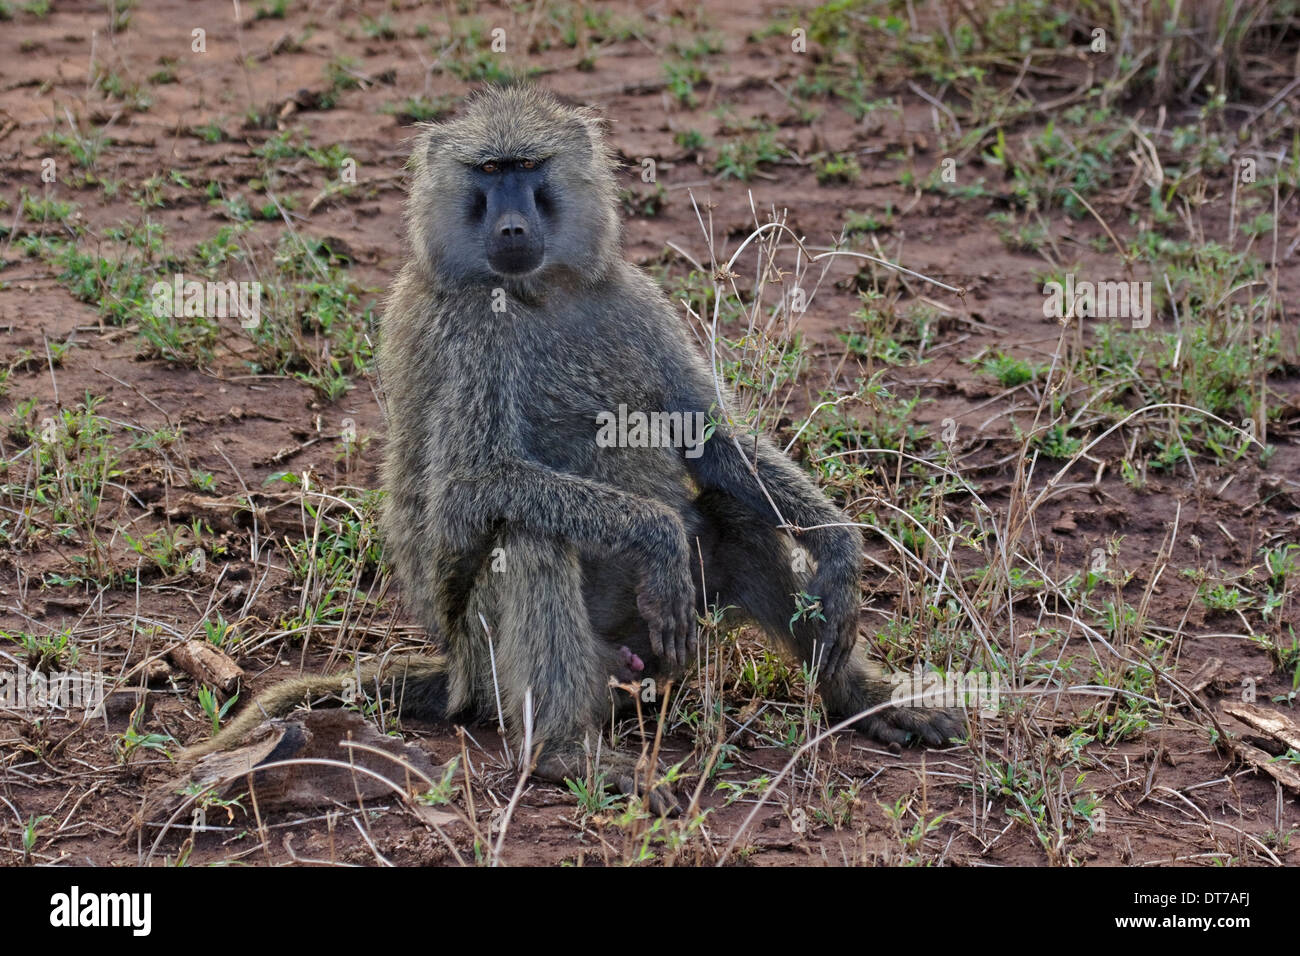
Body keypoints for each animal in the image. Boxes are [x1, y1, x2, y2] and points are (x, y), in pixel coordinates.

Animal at [183, 84, 963, 810]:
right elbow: (476, 481)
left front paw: (839, 548)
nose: (512, 222)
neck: (539, 290)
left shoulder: (635, 298)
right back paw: (565, 754)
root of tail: (456, 675)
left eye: (528, 166)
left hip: (658, 643)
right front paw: (658, 537)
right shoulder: (470, 331)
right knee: (530, 536)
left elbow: (711, 443)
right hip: (496, 662)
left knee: (737, 518)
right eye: (488, 169)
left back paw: (860, 702)